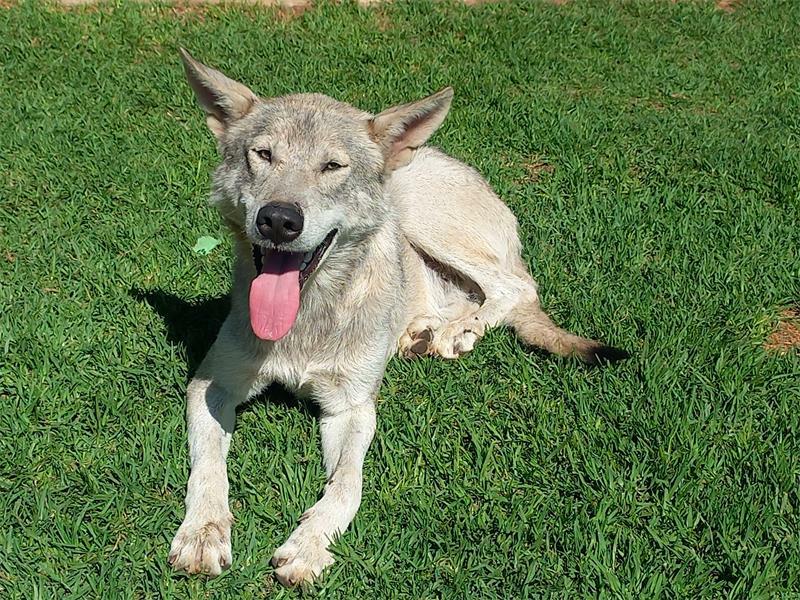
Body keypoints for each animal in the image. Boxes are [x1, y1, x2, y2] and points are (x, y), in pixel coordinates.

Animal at [167, 49, 628, 587]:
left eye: (332, 166)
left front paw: (309, 545)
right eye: (262, 155)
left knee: (515, 288)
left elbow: (348, 484)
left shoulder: (351, 407)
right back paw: (424, 331)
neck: (307, 318)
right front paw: (204, 532)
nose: (279, 219)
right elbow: (208, 469)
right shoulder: (212, 385)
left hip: (419, 213)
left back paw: (457, 331)